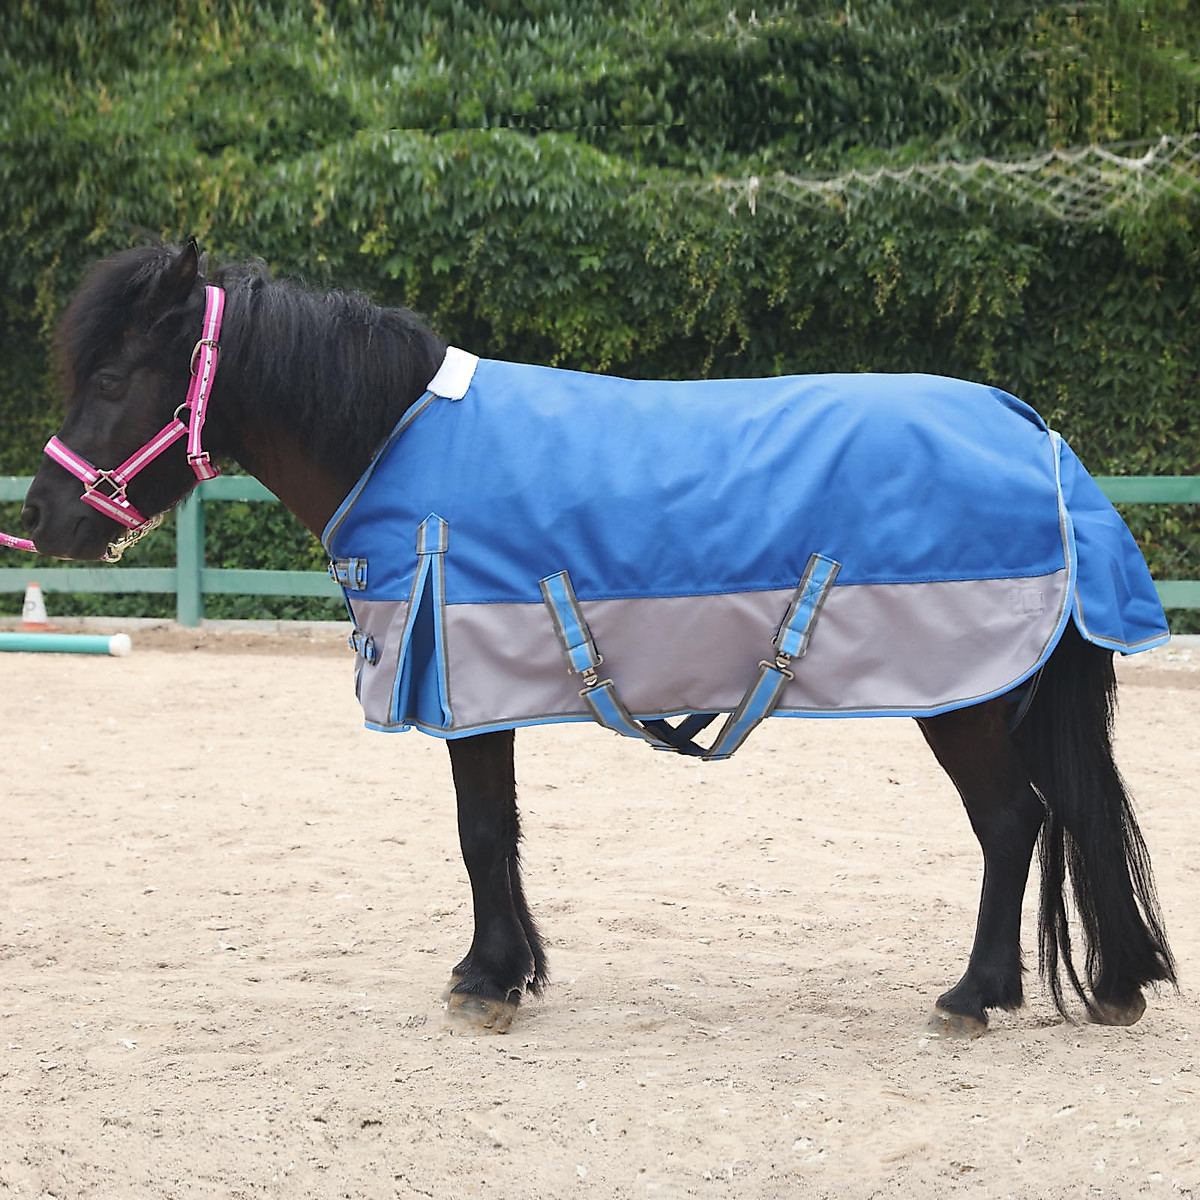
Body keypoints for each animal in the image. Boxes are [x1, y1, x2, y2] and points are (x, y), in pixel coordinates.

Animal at [19, 241, 1176, 1037]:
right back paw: (1098, 984)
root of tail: (1036, 436)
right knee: (1059, 816)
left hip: (963, 699)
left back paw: (974, 994)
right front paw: (504, 970)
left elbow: (481, 833)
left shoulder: (464, 691)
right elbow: (499, 834)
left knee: (1011, 822)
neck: (393, 439)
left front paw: (487, 981)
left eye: (114, 381)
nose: (40, 518)